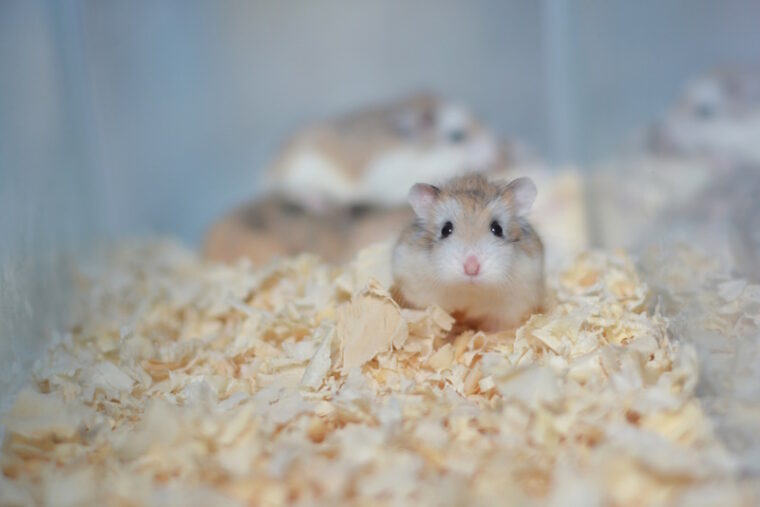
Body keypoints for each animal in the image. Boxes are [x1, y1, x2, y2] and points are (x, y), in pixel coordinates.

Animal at [264, 92, 504, 212]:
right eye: (457, 137)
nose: (495, 153)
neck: (426, 154)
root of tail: (269, 171)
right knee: (293, 192)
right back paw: (319, 203)